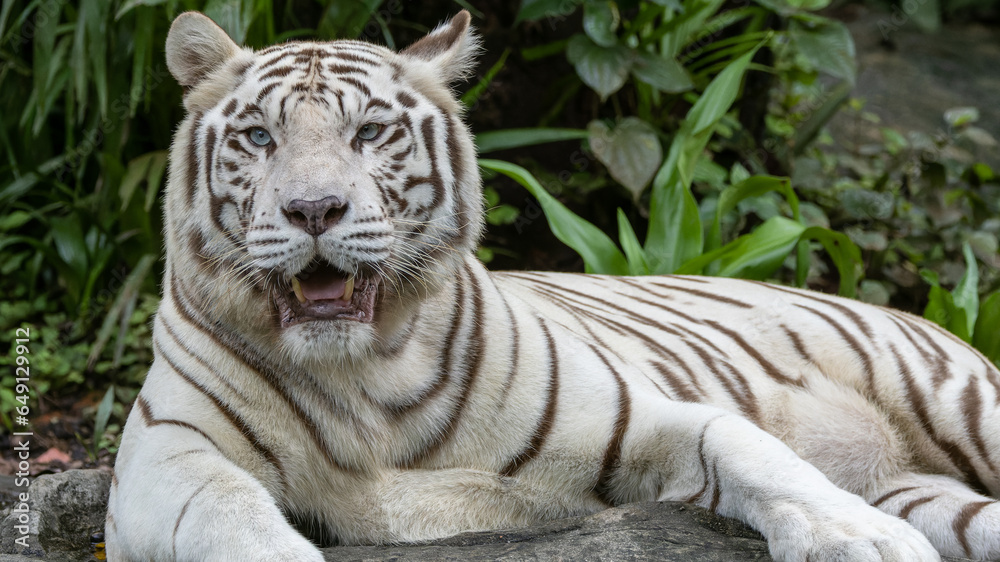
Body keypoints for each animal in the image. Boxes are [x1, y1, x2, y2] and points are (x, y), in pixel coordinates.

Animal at [104, 9, 1000, 562]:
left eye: (369, 132)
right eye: (260, 137)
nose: (314, 209)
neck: (363, 370)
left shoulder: (635, 418)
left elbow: (751, 450)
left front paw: (863, 538)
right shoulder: (162, 455)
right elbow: (224, 511)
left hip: (961, 400)